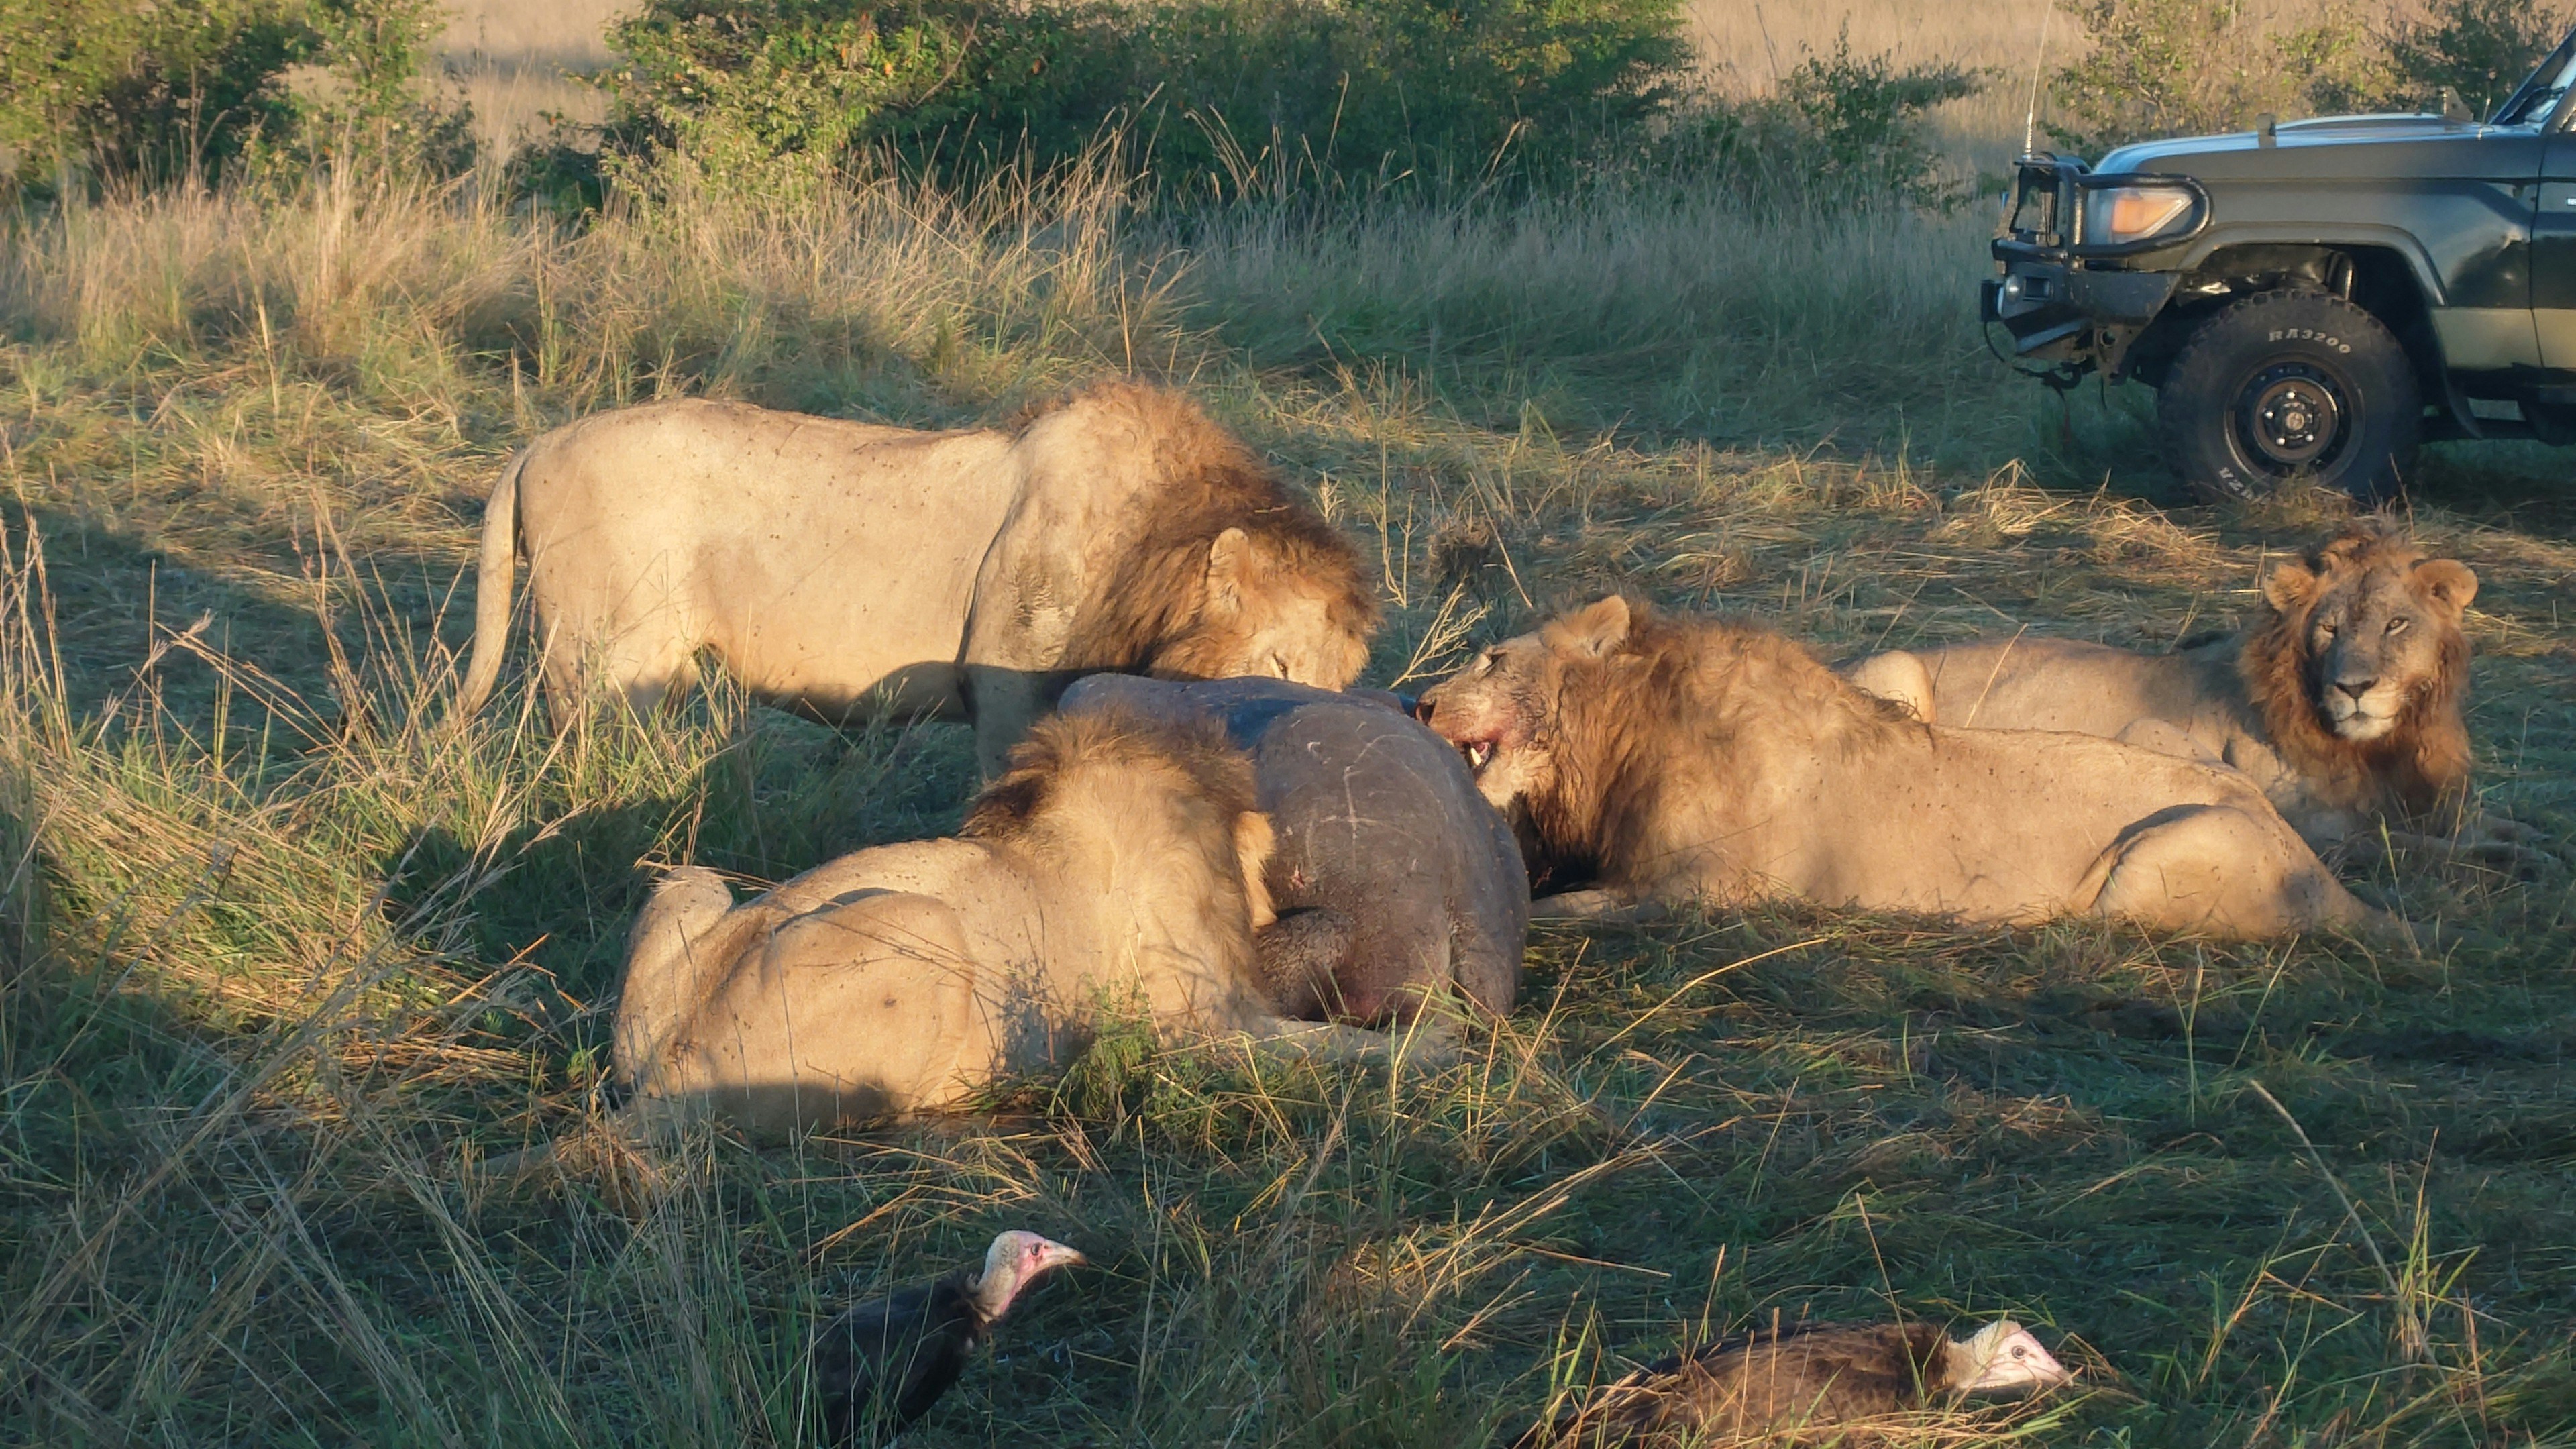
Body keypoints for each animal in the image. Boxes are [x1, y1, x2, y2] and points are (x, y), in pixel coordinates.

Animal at [611, 708, 1404, 1137]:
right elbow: (1346, 1049)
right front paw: (1424, 1050)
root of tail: (668, 1075)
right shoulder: (1203, 1034)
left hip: (689, 883)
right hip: (926, 926)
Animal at [1415, 595, 2411, 942]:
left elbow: (1561, 913)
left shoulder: (1708, 892)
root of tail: (2330, 881)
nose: (1420, 706)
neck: (1613, 740)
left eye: (1492, 659)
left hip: (2154, 858)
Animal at [1842, 521, 2534, 863]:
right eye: (2330, 628)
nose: (2355, 687)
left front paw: (2535, 843)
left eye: (2396, 624)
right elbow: (2431, 848)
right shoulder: (2318, 830)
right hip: (1900, 666)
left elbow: (2493, 827)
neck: (2376, 747)